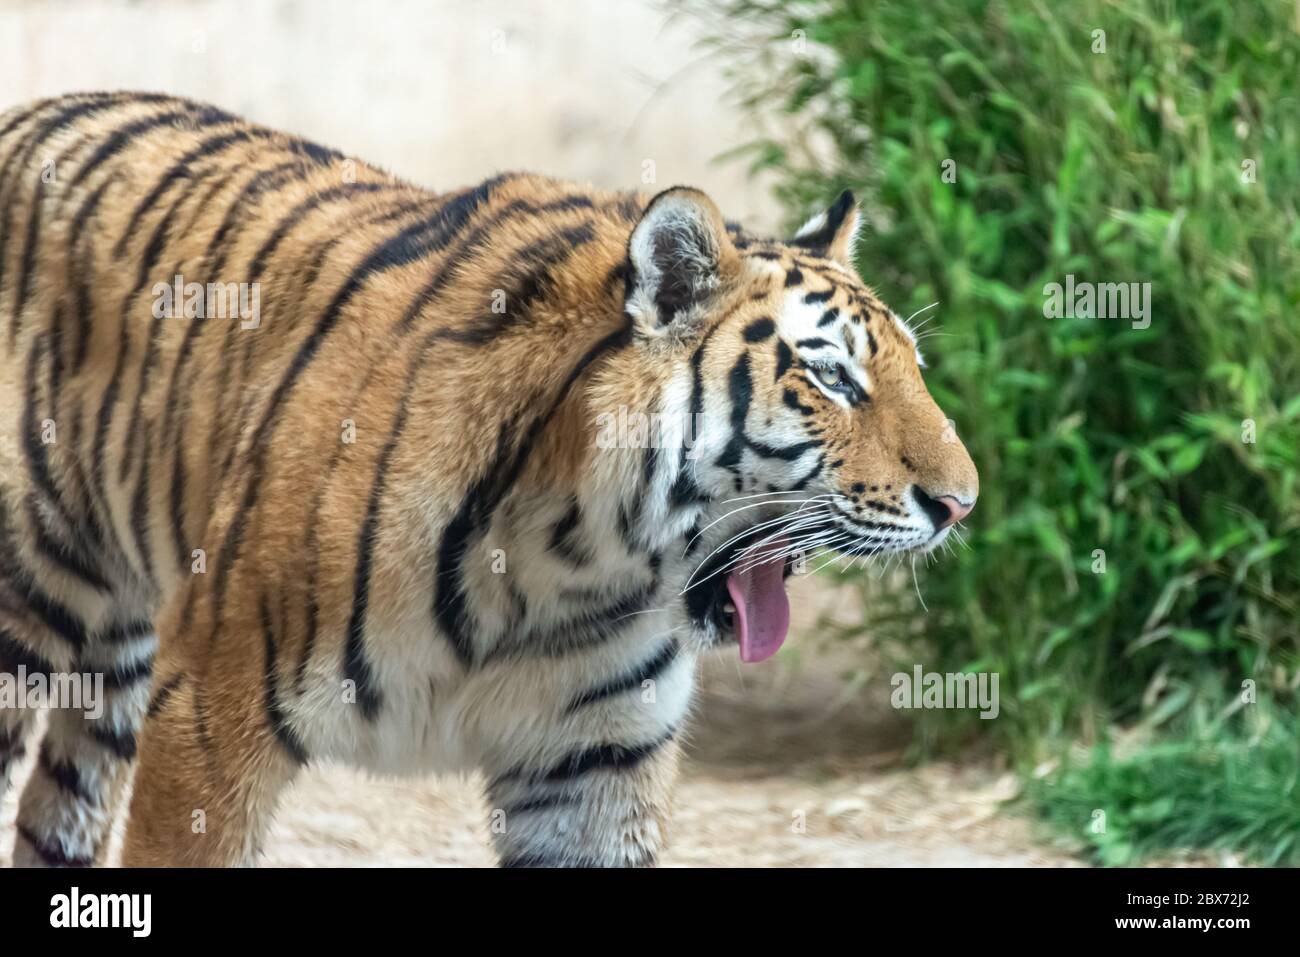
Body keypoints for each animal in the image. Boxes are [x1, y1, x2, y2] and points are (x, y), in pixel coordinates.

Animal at [0, 91, 977, 868]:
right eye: (834, 378)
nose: (961, 502)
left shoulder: (595, 769)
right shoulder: (209, 710)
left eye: (913, 370)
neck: (571, 563)